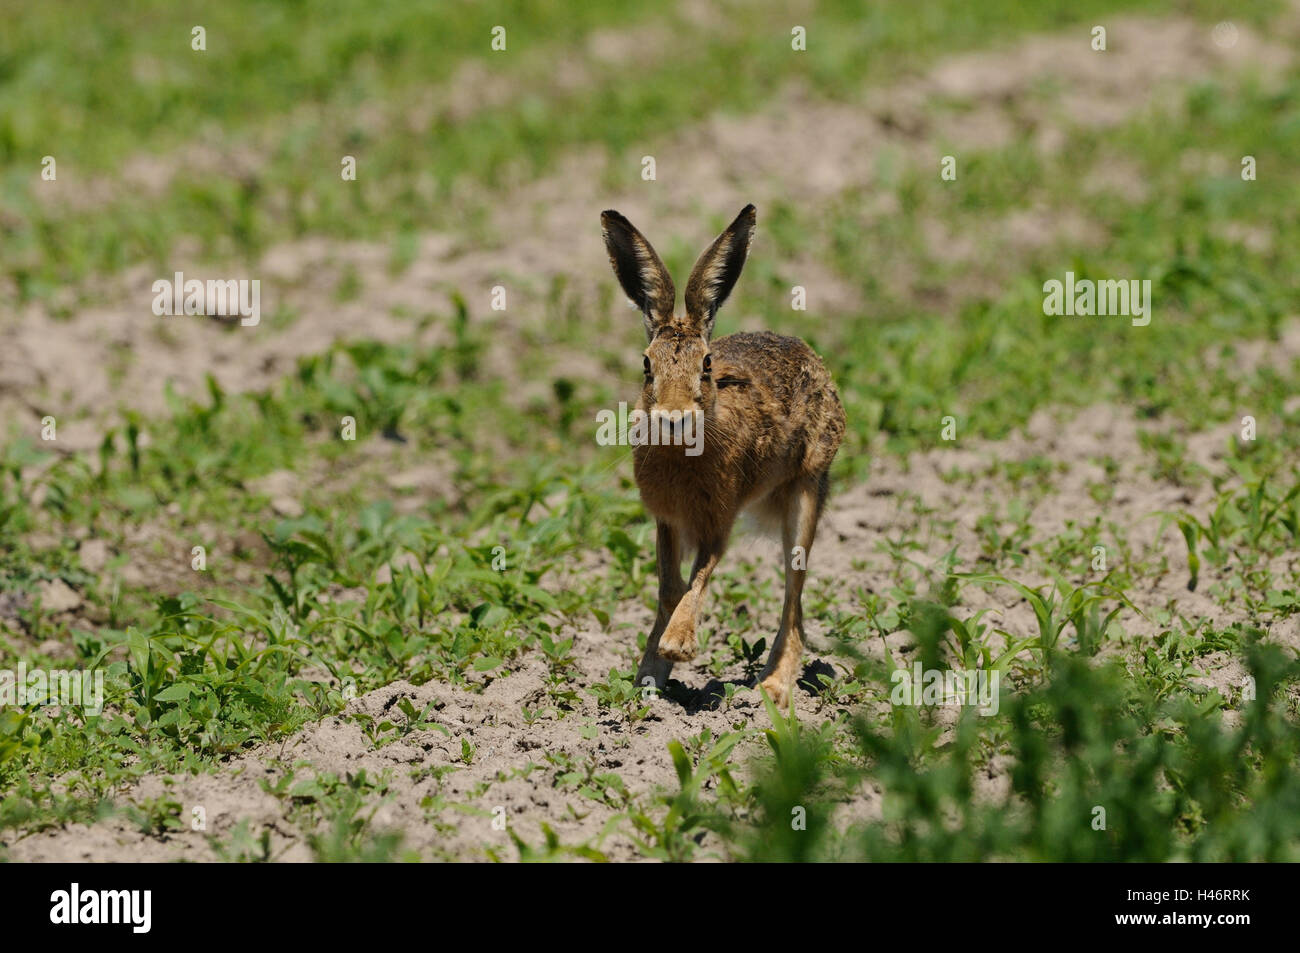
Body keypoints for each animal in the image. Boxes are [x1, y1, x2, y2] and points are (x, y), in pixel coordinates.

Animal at [600, 204, 846, 709]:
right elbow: (668, 587)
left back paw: (772, 688)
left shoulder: (719, 520)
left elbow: (699, 577)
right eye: (646, 365)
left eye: (707, 365)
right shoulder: (667, 520)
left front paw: (677, 646)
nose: (673, 417)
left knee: (794, 601)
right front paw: (650, 675)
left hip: (806, 493)